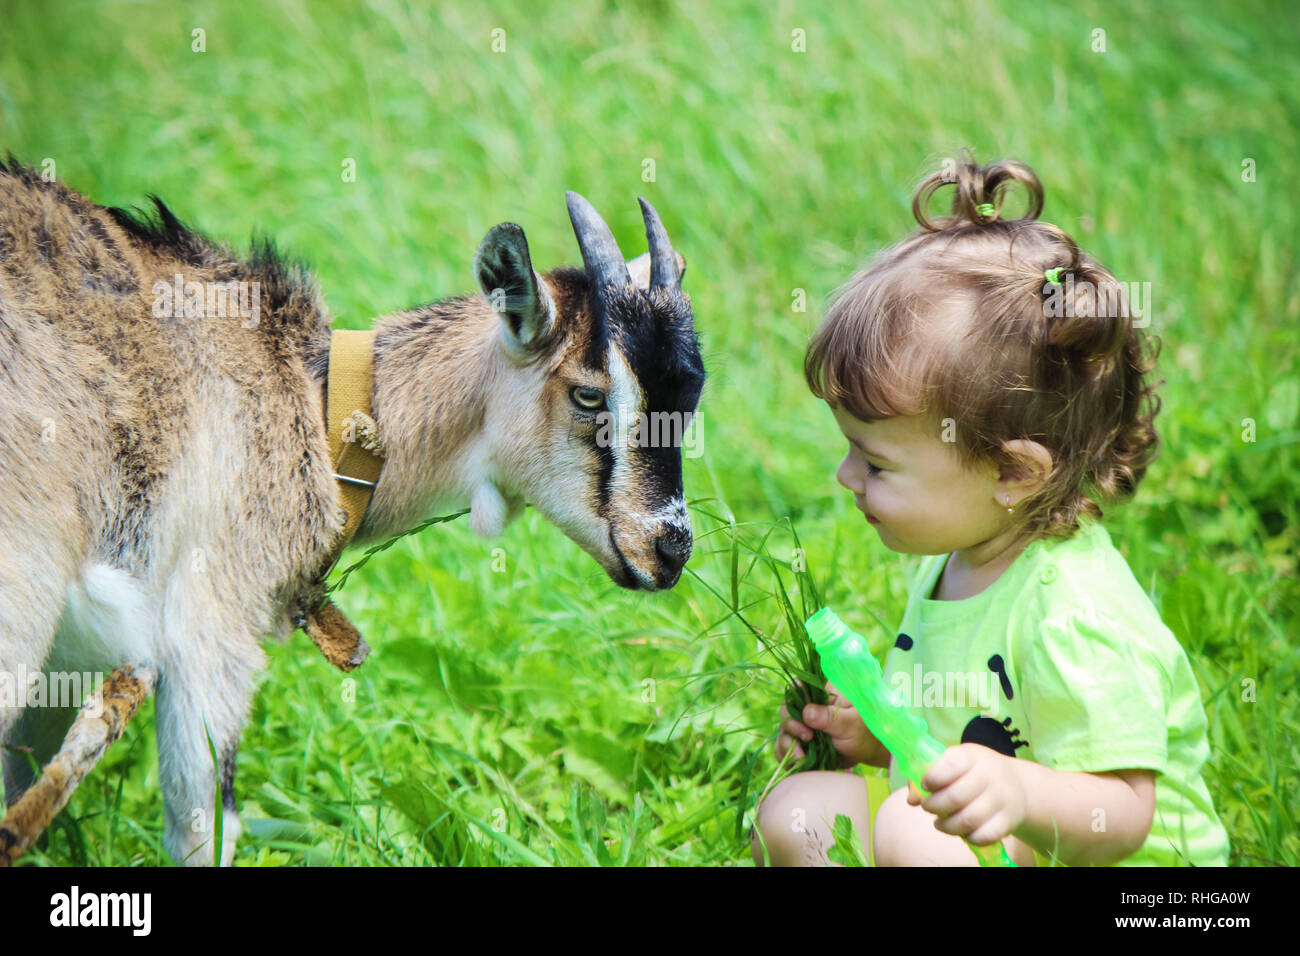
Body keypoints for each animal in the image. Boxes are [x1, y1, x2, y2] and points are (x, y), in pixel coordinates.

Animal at [0, 158, 705, 865]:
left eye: (692, 398)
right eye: (588, 394)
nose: (669, 550)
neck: (313, 401)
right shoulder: (210, 626)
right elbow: (206, 829)